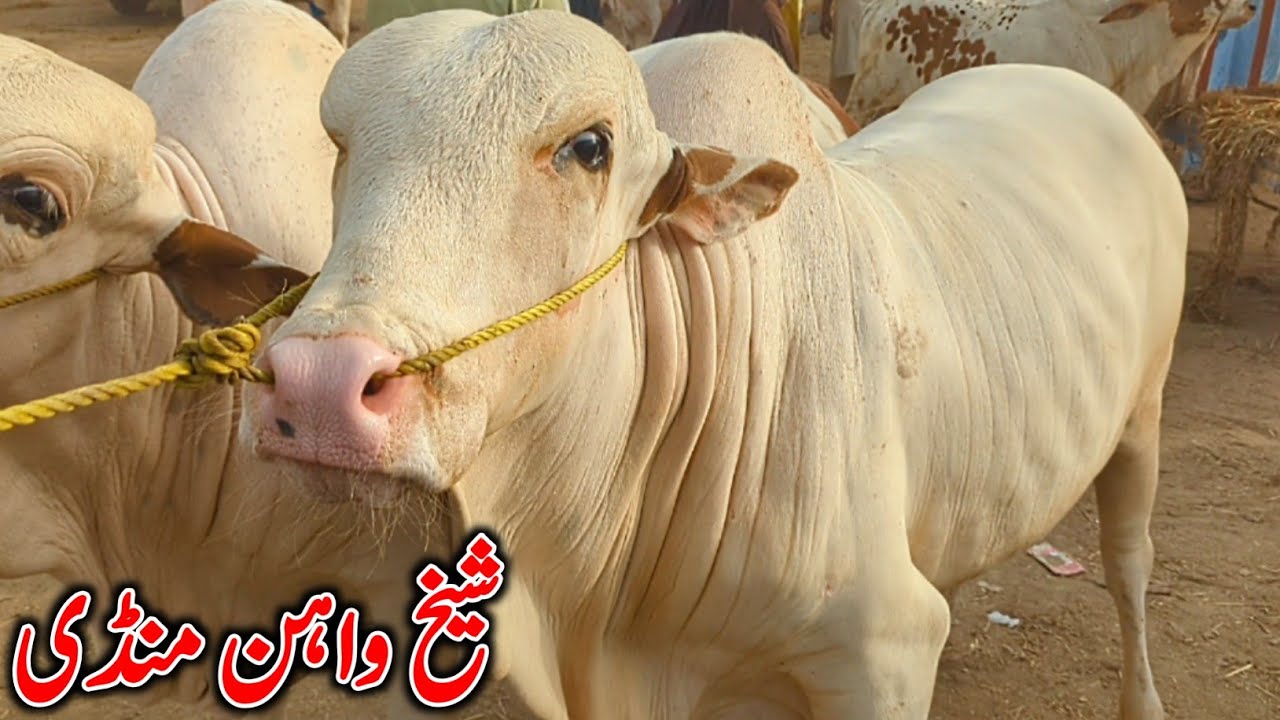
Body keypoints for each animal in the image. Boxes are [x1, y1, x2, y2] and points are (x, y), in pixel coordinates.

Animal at [186, 10, 1188, 720]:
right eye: (340, 143)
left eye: (589, 146)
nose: (319, 389)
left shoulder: (880, 658)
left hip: (1142, 421)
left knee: (1130, 565)